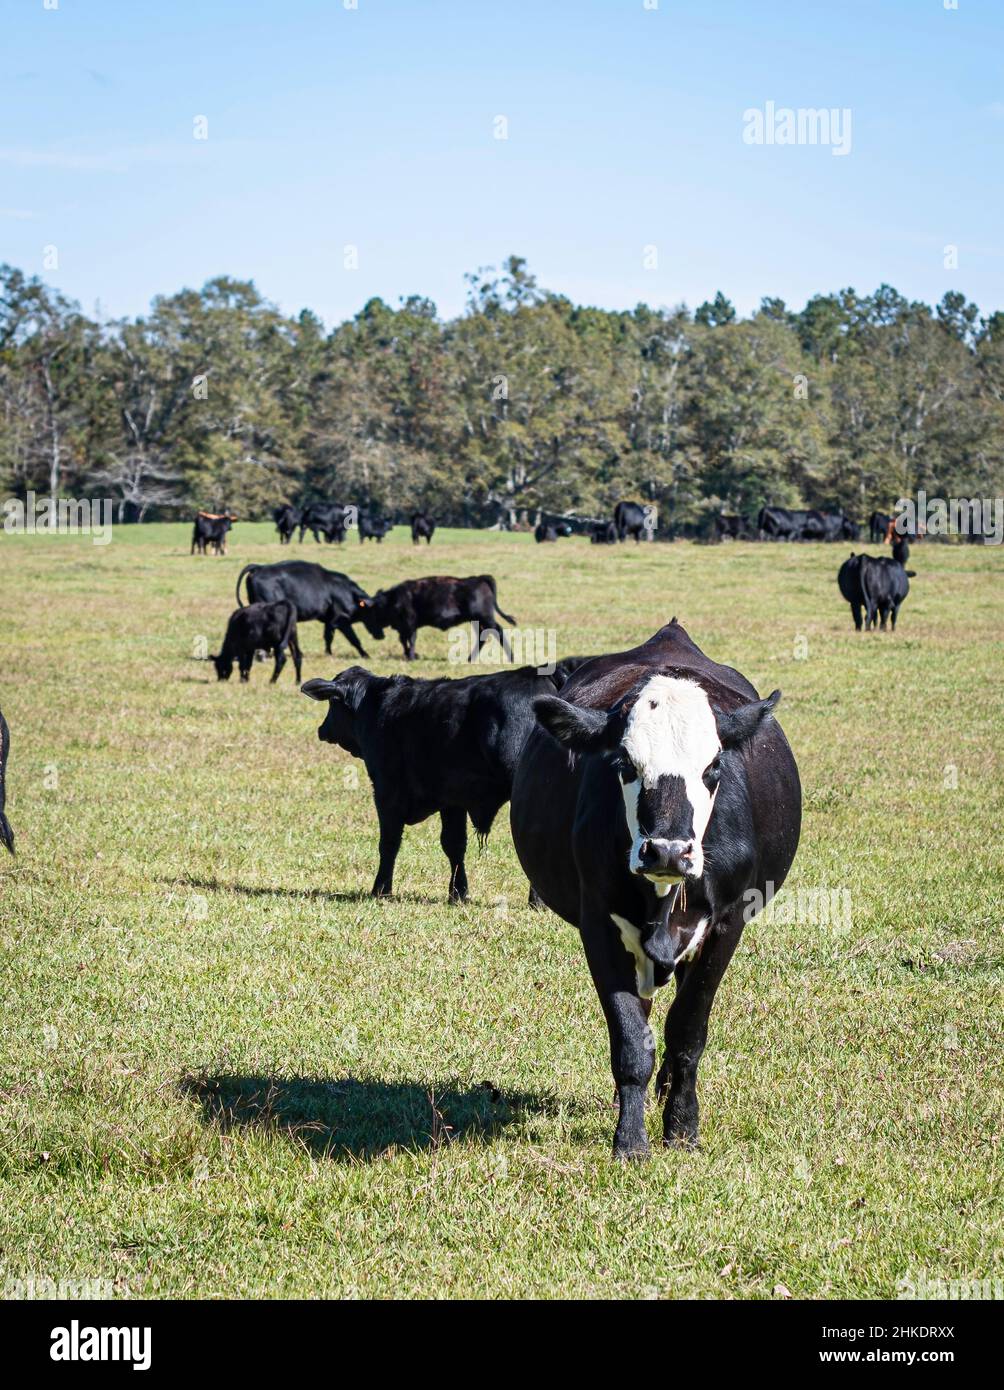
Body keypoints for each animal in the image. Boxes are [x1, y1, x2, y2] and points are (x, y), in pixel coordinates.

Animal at [235, 561, 378, 658]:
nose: (380, 635)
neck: (348, 592)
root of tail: (260, 567)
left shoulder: (329, 620)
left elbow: (328, 637)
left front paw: (328, 653)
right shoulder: (341, 619)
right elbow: (354, 639)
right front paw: (365, 655)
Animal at [301, 661, 587, 902]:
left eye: (332, 704)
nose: (321, 729)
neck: (376, 705)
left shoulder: (387, 791)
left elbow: (389, 843)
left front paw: (381, 889)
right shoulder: (453, 799)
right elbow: (454, 845)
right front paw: (458, 893)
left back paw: (538, 900)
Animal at [358, 574, 516, 662]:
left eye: (372, 612)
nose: (378, 635)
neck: (394, 598)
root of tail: (479, 578)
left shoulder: (410, 622)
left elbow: (411, 639)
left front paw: (412, 656)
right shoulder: (404, 627)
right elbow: (403, 640)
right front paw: (410, 654)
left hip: (485, 618)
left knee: (498, 631)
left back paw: (511, 657)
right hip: (477, 620)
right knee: (483, 636)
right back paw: (470, 659)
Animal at [509, 619, 801, 1158]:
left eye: (712, 767)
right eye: (624, 763)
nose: (667, 851)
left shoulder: (726, 924)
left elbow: (687, 1030)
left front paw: (682, 1128)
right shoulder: (599, 925)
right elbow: (629, 1036)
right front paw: (630, 1138)